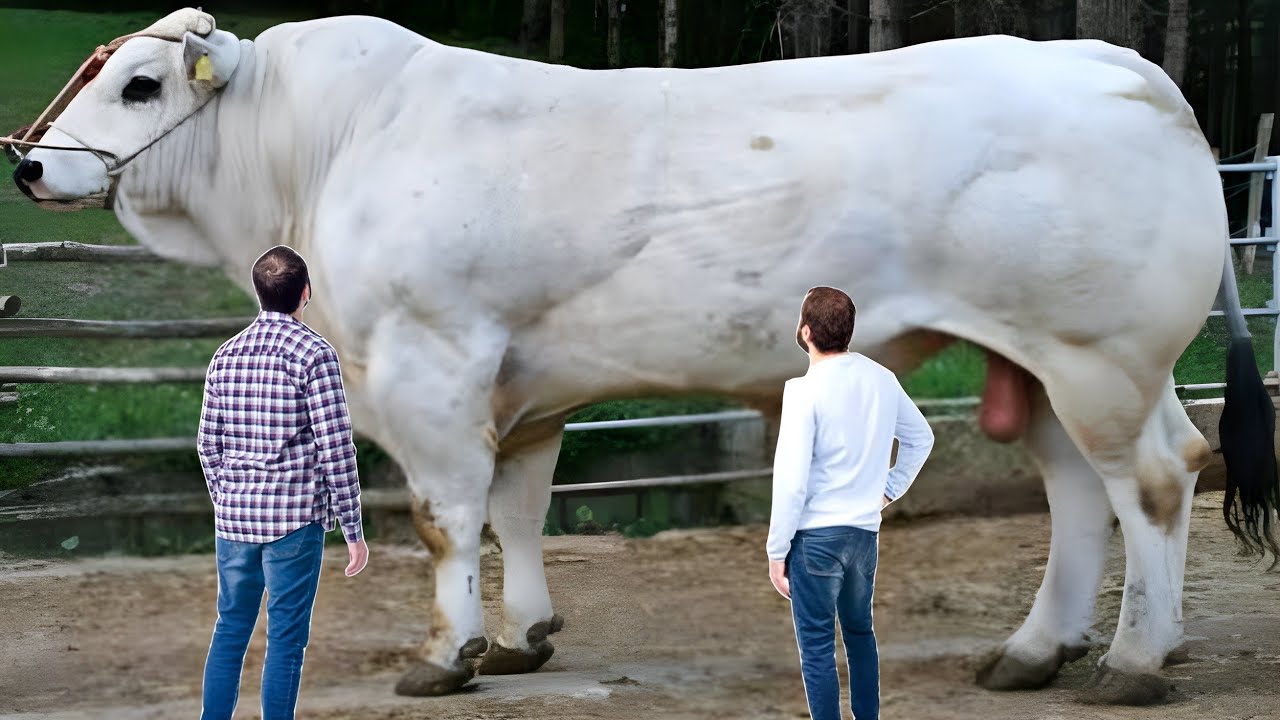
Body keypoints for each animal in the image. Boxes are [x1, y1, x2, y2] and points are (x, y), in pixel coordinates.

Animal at [7, 7, 1277, 706]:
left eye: (141, 83)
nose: (28, 164)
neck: (316, 151)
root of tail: (1117, 65)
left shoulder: (426, 362)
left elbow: (444, 517)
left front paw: (445, 653)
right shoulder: (522, 386)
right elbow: (516, 507)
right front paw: (521, 637)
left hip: (1101, 356)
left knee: (1152, 481)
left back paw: (1133, 662)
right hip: (1038, 364)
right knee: (1075, 496)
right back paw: (1032, 651)